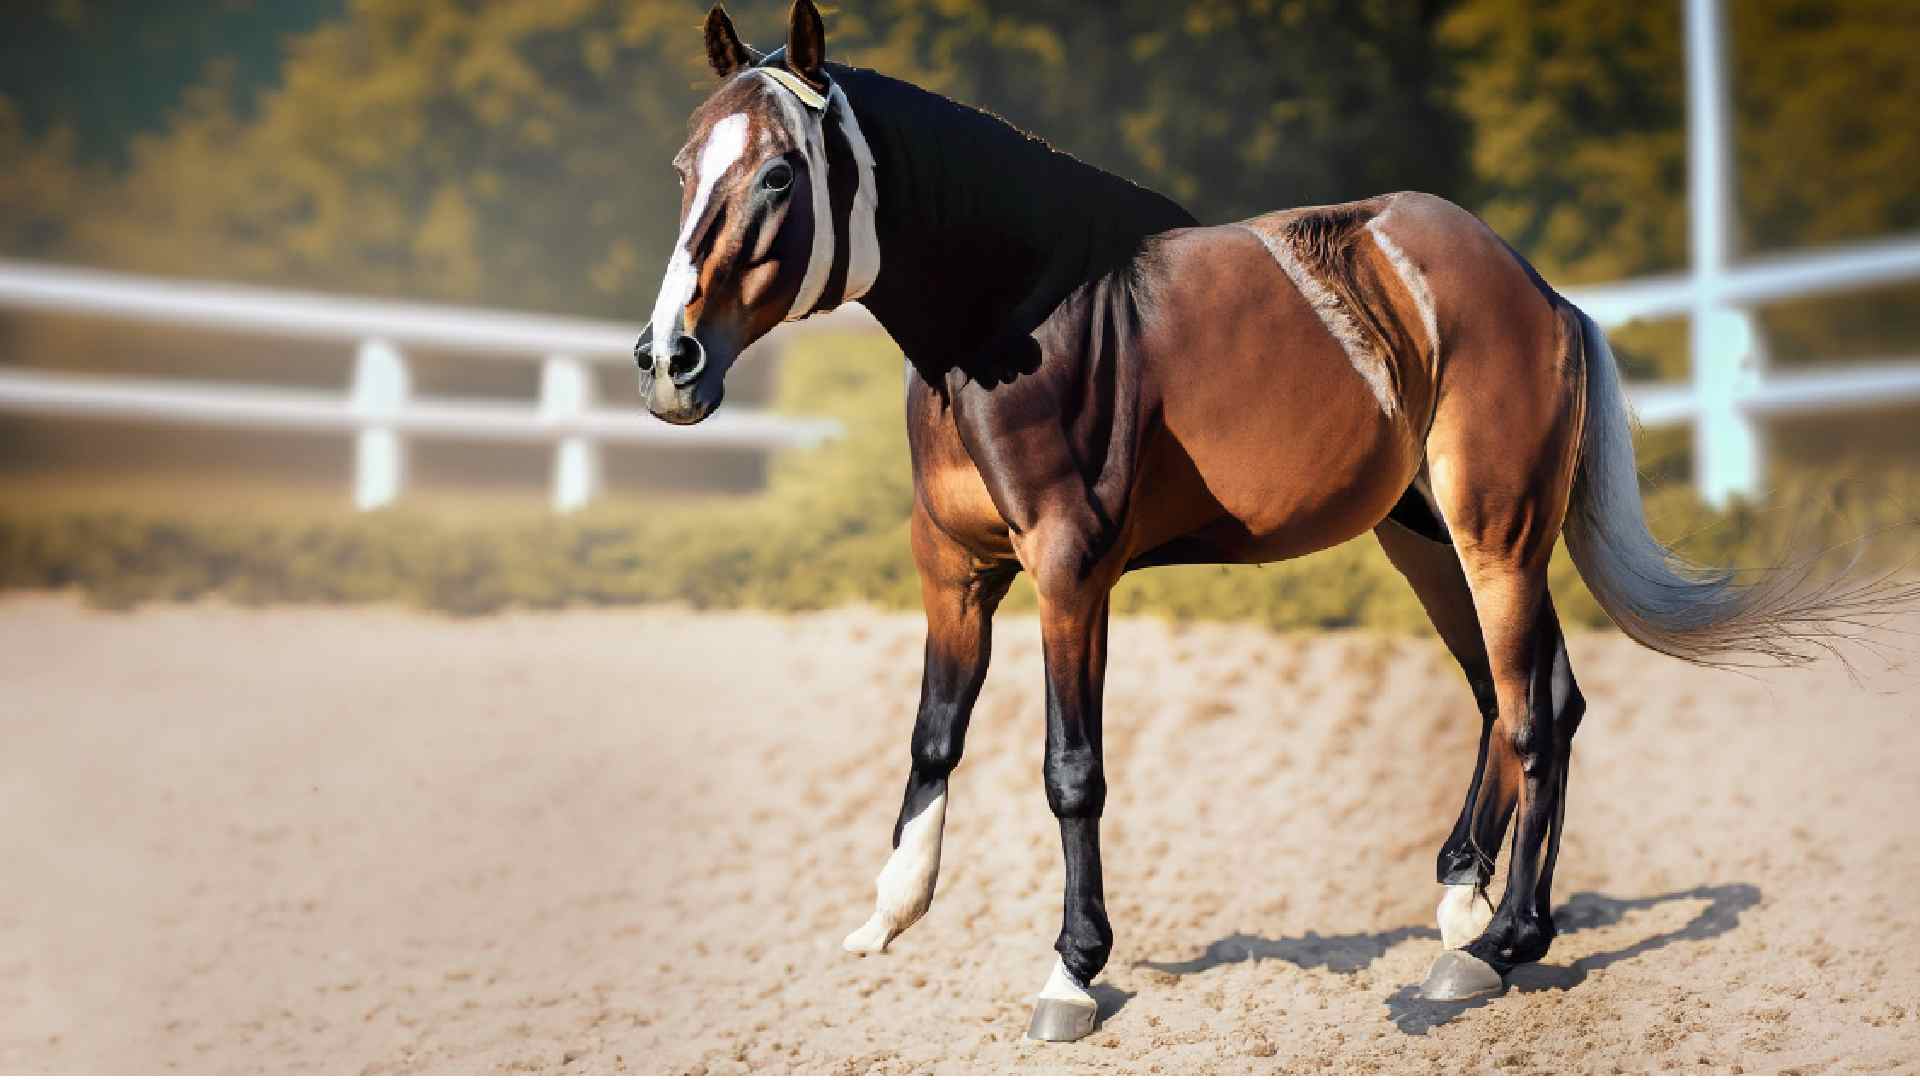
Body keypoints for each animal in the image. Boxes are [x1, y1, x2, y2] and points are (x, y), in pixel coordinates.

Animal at [634, 0, 1902, 1042]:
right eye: (687, 167)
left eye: (780, 178)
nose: (667, 361)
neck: (1013, 315)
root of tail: (1540, 291)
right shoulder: (954, 571)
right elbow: (933, 736)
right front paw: (889, 914)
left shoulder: (1070, 571)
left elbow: (1070, 769)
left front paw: (1072, 974)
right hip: (1425, 541)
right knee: (1512, 699)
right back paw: (1459, 901)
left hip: (1496, 536)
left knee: (1539, 711)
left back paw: (1496, 950)